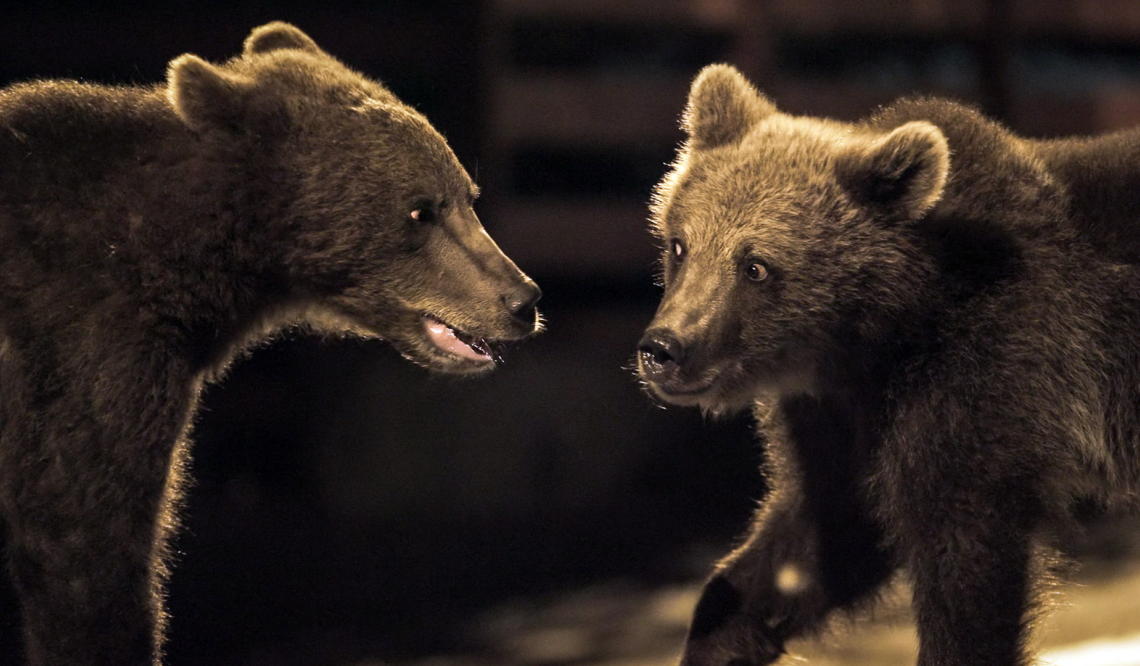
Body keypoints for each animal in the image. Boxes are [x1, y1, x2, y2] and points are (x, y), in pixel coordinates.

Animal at [636, 63, 1140, 666]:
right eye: (680, 245)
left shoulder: (985, 376)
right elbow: (820, 536)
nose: (664, 348)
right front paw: (719, 633)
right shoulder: (837, 416)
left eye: (755, 266)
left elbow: (966, 555)